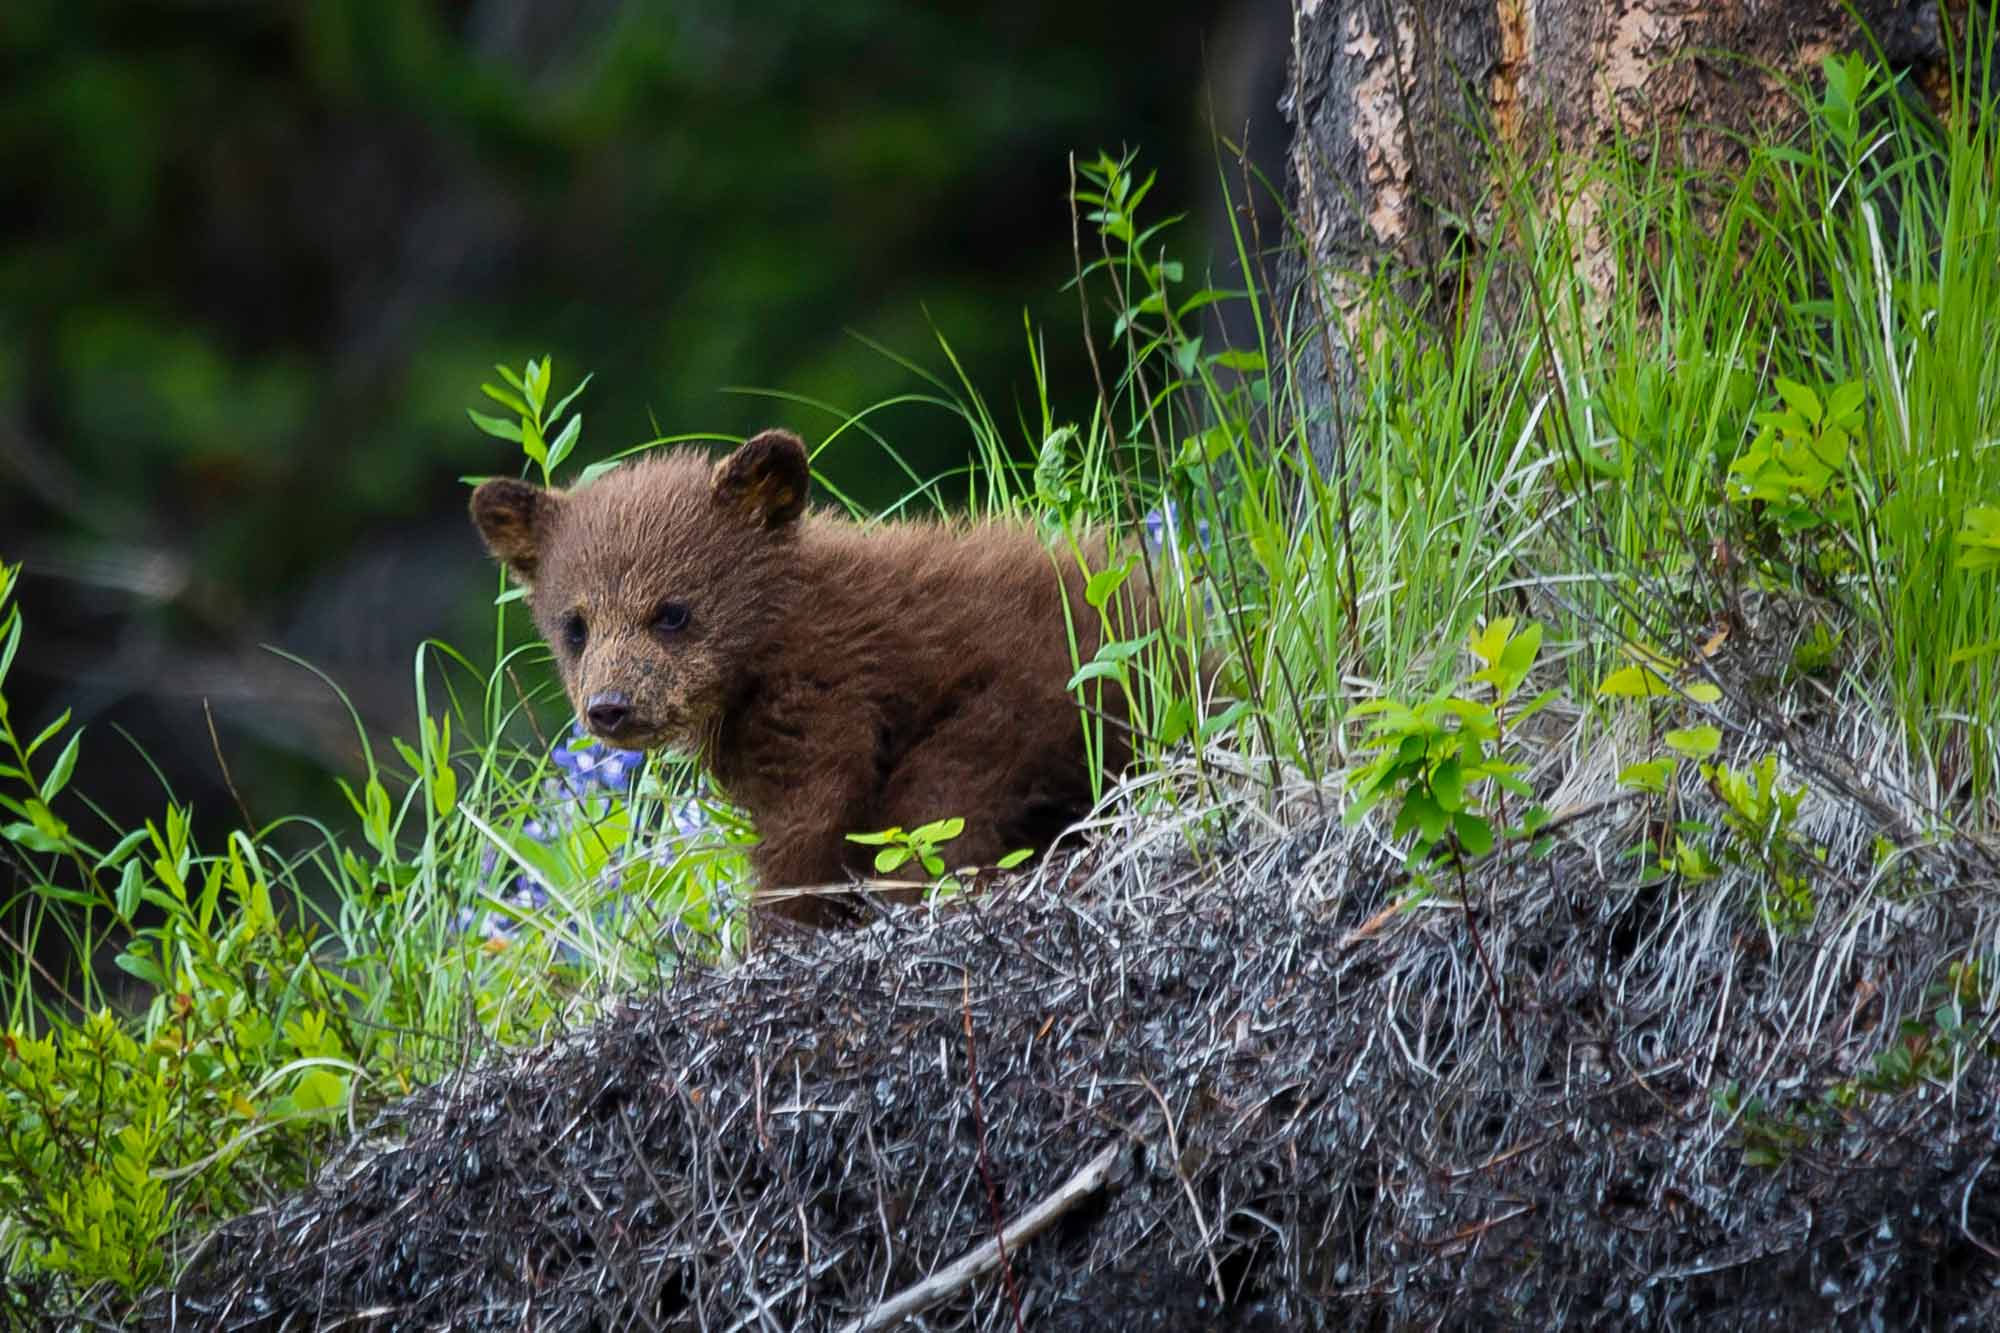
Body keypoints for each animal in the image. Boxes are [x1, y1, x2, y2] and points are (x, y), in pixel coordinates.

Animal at [470, 429, 1150, 927]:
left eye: (671, 611)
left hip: (1024, 705)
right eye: (574, 625)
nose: (611, 707)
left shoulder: (824, 688)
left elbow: (811, 817)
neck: (770, 636)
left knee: (939, 808)